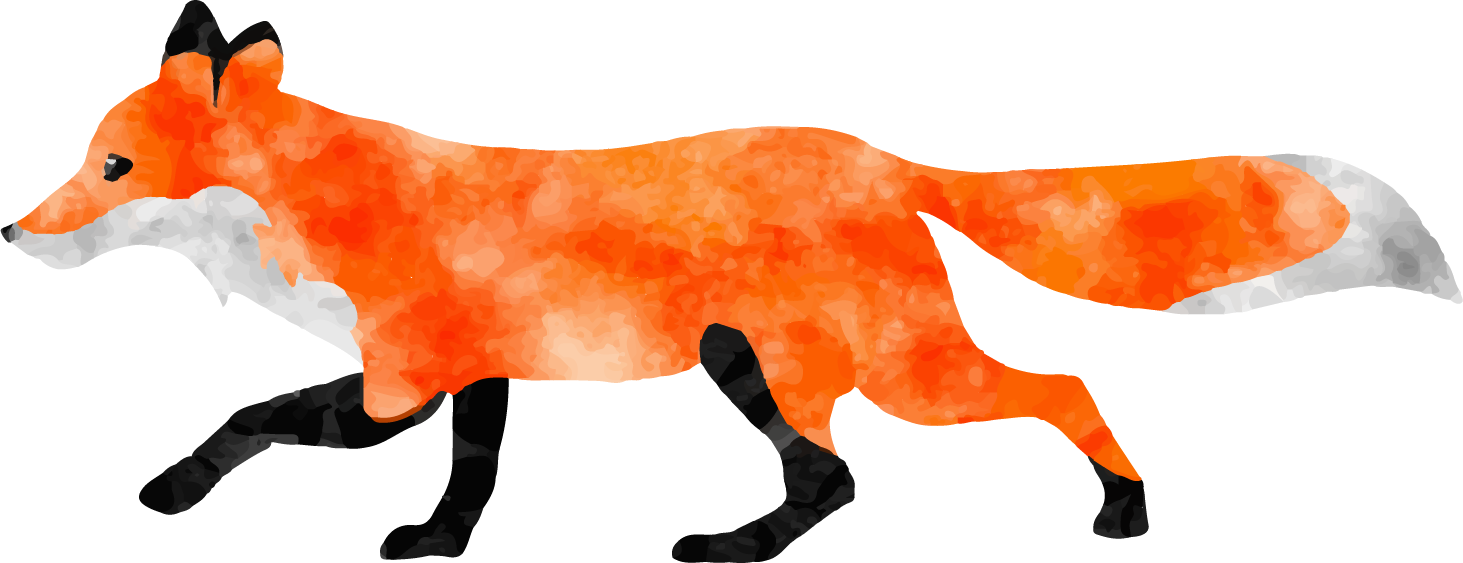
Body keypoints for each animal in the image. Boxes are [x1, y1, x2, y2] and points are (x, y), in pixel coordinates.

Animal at [4, 1, 1460, 561]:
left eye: (111, 162)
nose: (13, 230)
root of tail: (879, 153)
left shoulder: (393, 384)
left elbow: (247, 416)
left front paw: (170, 490)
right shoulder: (480, 370)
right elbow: (473, 478)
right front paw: (438, 544)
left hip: (856, 367)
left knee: (1032, 392)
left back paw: (1122, 509)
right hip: (768, 362)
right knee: (840, 476)